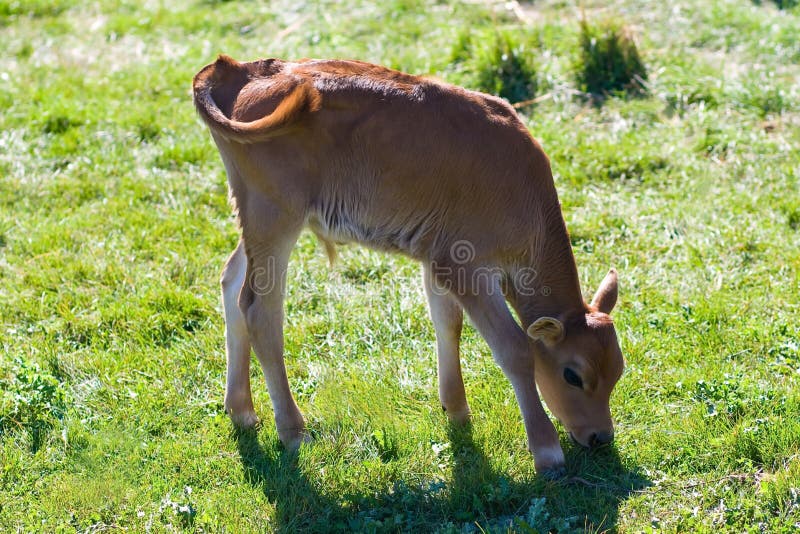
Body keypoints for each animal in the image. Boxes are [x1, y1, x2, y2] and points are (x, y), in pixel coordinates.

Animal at [193, 55, 624, 476]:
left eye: (618, 370)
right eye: (573, 375)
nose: (601, 437)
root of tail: (239, 69)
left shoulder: (437, 259)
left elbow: (448, 324)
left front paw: (457, 410)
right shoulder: (466, 268)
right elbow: (515, 350)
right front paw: (547, 452)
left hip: (253, 221)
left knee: (231, 282)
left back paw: (242, 410)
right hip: (276, 219)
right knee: (259, 311)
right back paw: (293, 431)